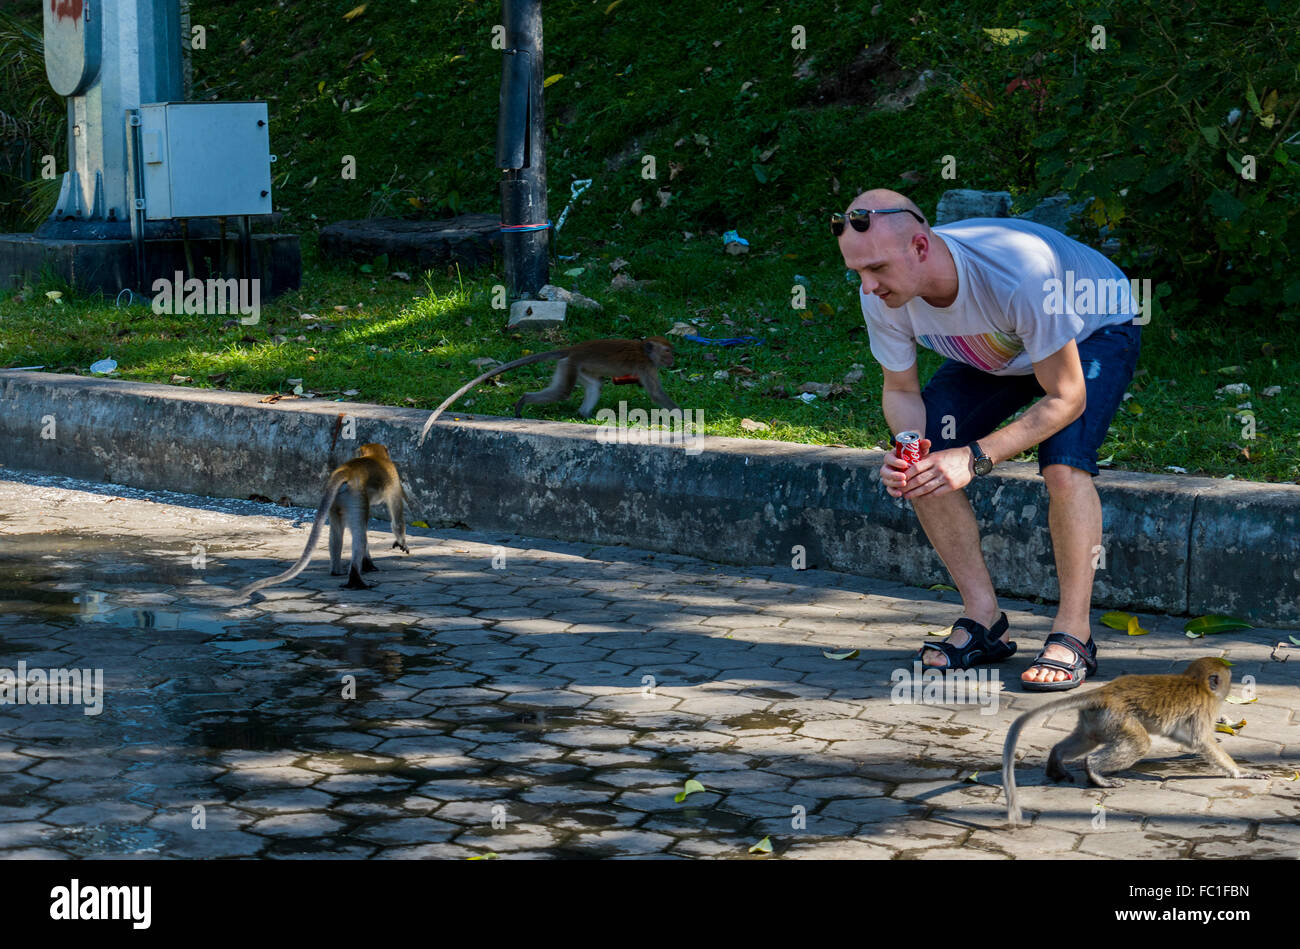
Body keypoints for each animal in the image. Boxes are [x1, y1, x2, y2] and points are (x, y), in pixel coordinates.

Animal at [237, 443, 410, 599]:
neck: (377, 456)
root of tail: (346, 470)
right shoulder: (394, 480)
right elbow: (397, 520)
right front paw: (402, 542)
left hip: (337, 499)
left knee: (337, 534)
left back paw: (336, 572)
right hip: (355, 496)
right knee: (359, 536)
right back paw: (355, 580)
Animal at [417, 337, 678, 445]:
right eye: (667, 351)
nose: (673, 359)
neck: (645, 351)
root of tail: (573, 349)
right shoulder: (646, 366)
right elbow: (656, 395)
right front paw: (682, 415)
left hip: (576, 367)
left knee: (594, 385)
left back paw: (584, 416)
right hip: (570, 365)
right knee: (562, 392)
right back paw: (523, 401)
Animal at [1002, 657, 1268, 825]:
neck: (1197, 683)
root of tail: (1103, 693)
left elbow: (1183, 737)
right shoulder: (1205, 707)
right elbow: (1201, 741)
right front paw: (1242, 773)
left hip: (1096, 719)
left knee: (1086, 739)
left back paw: (1057, 760)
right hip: (1118, 717)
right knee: (1139, 744)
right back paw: (1095, 771)